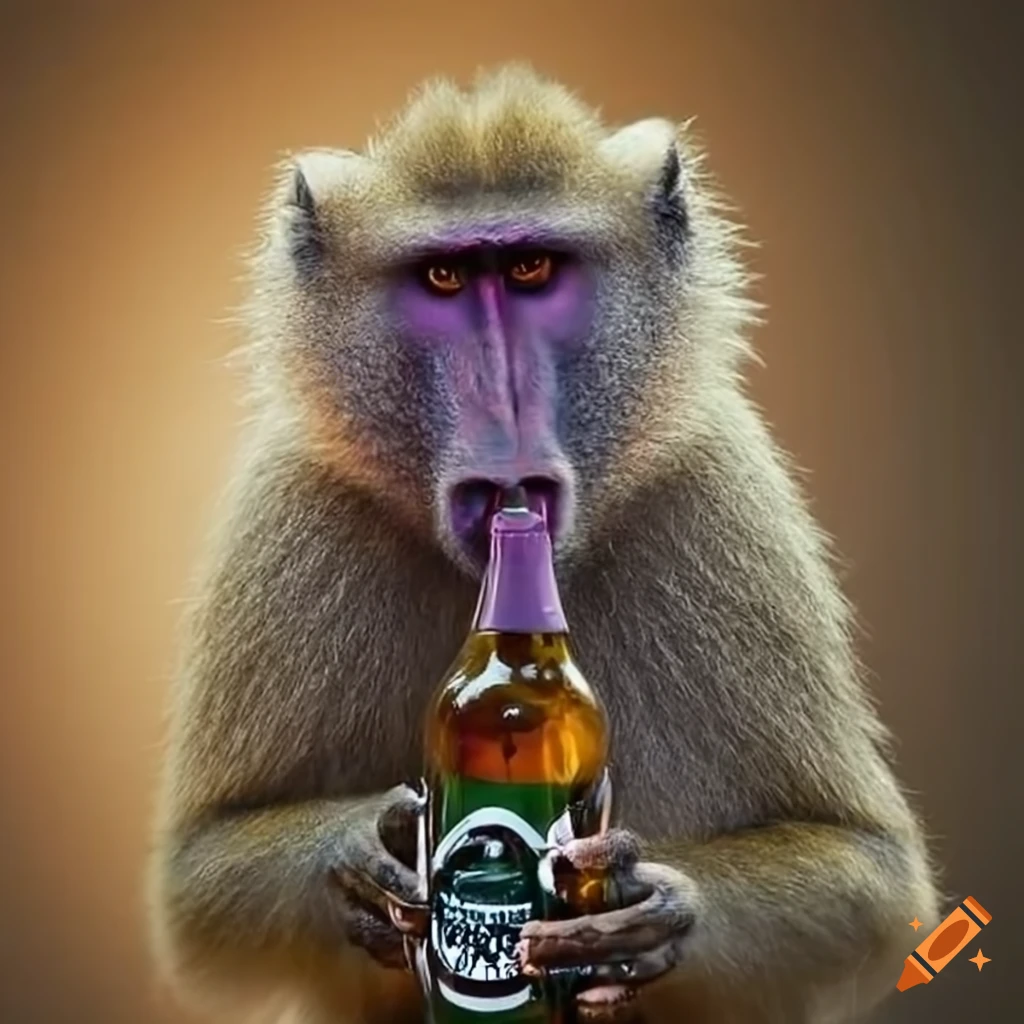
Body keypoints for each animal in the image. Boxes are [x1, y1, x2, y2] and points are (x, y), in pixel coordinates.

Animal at [147, 64, 940, 1024]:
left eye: (530, 268)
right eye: (445, 277)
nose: (506, 402)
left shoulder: (717, 501)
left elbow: (864, 878)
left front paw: (644, 910)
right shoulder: (293, 513)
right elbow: (200, 889)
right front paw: (364, 857)